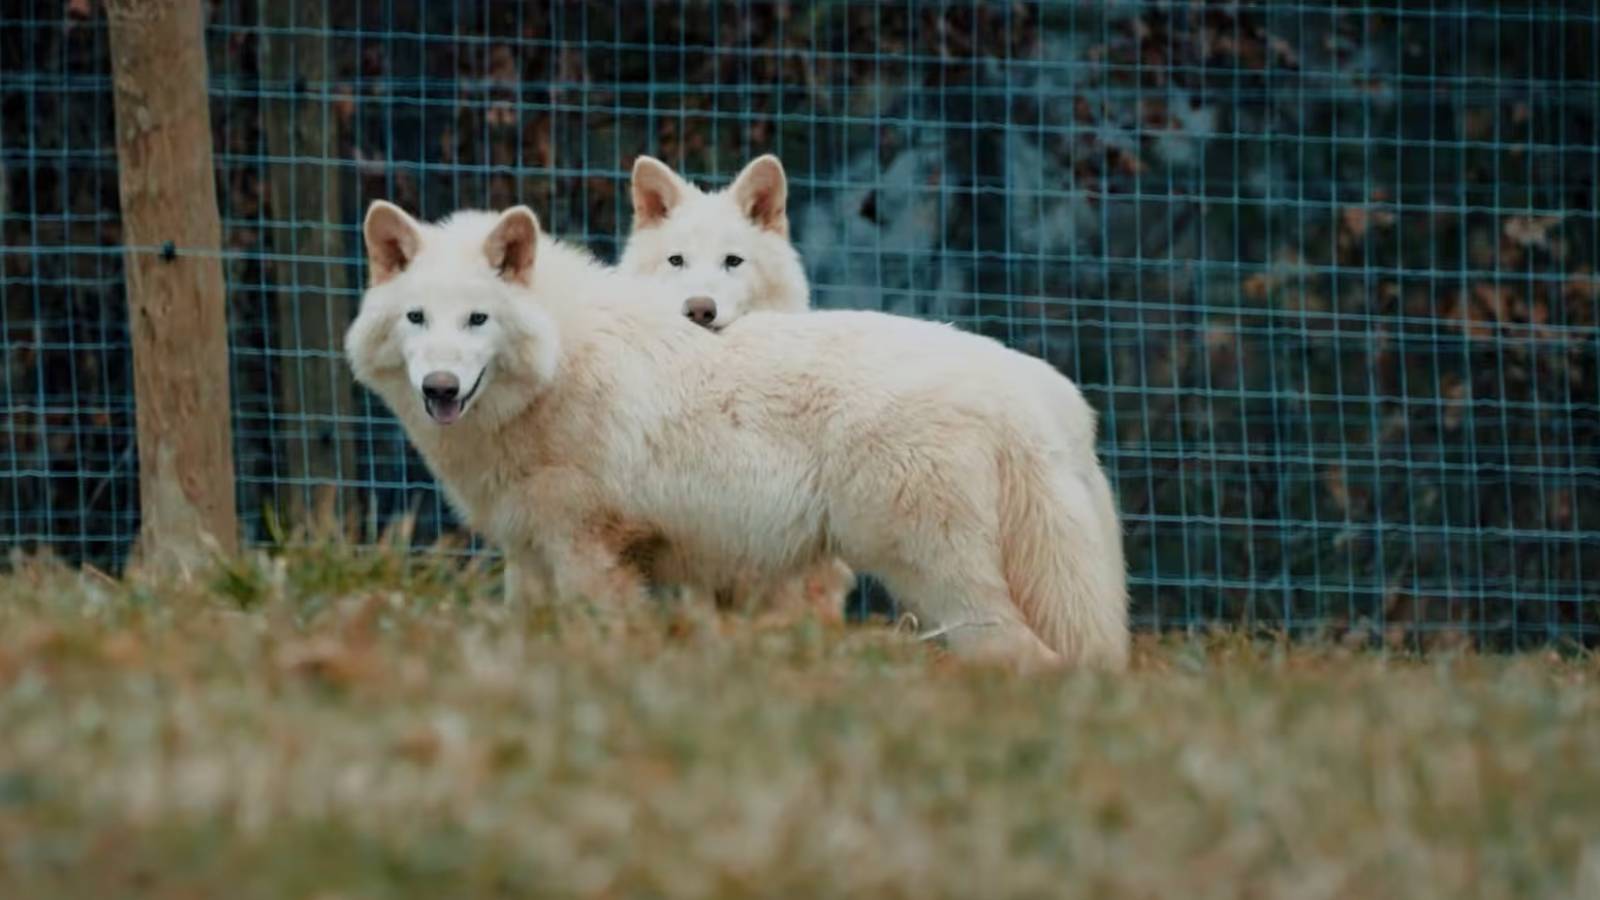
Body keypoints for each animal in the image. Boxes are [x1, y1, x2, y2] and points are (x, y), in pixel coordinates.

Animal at [345, 200, 1130, 671]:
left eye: (478, 320)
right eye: (417, 318)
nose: (440, 387)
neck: (560, 364)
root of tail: (1030, 387)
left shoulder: (591, 556)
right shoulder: (530, 557)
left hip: (935, 581)